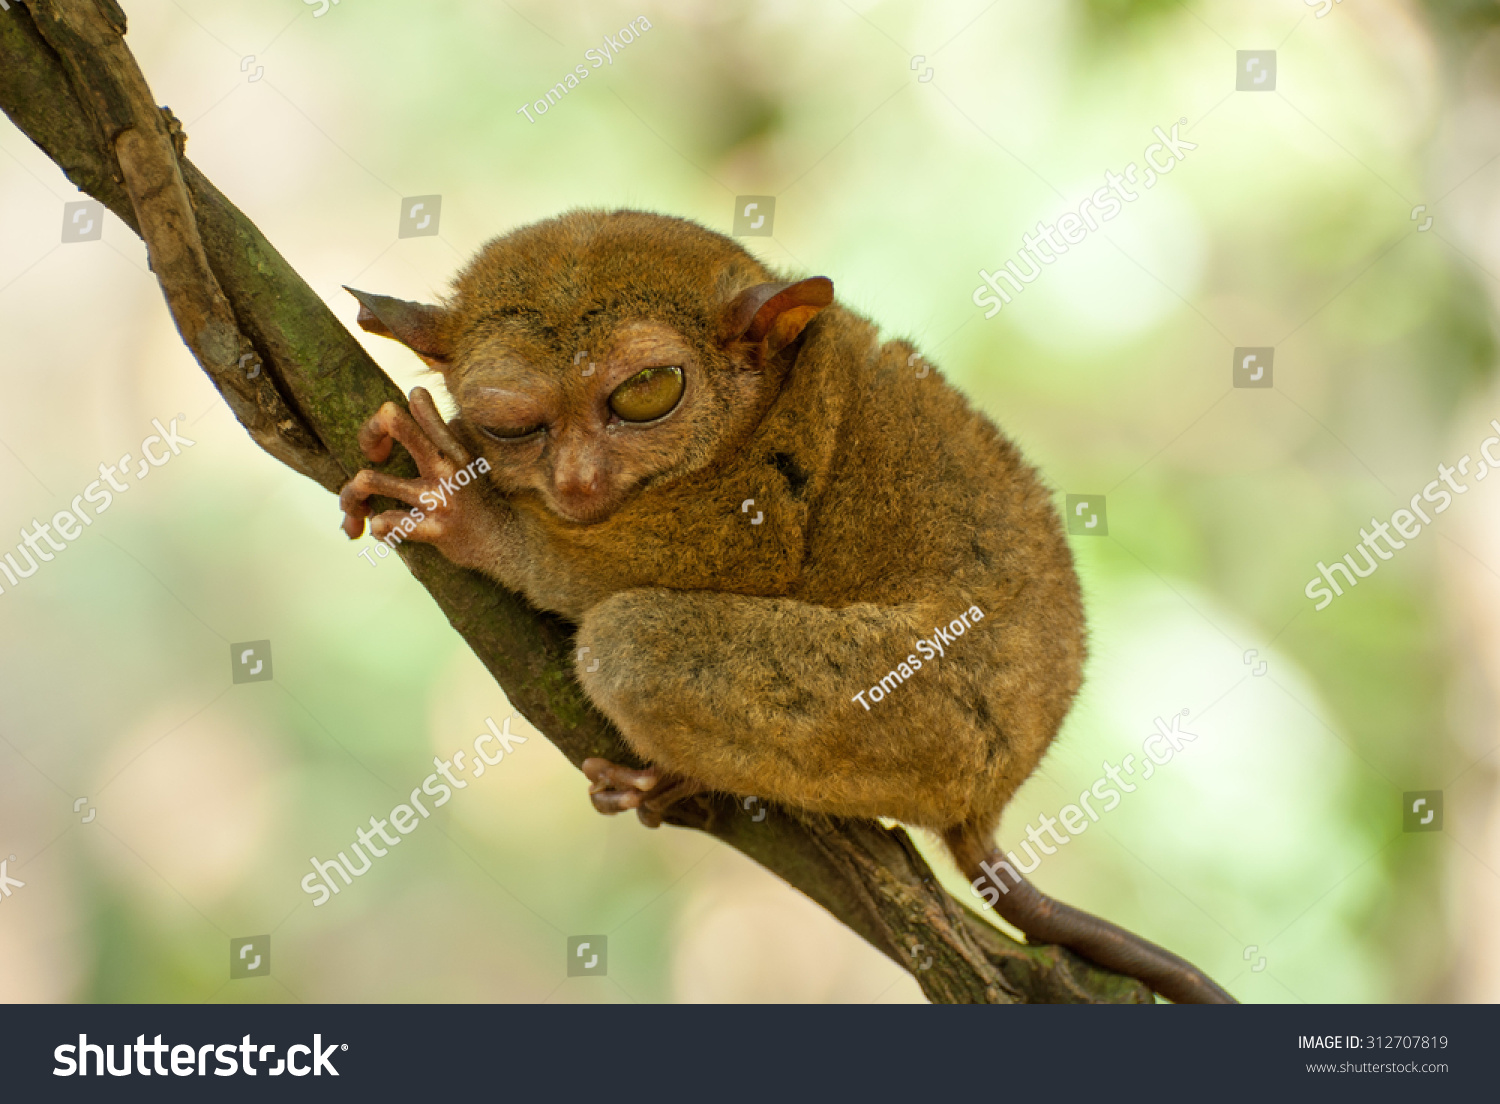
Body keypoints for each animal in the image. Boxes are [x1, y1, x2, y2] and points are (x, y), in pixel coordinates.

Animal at [337, 208, 1234, 1005]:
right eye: (513, 424)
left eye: (646, 393)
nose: (577, 483)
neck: (762, 401)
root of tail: (991, 801)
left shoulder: (770, 479)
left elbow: (709, 560)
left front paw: (470, 514)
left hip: (922, 719)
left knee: (627, 643)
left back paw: (670, 771)